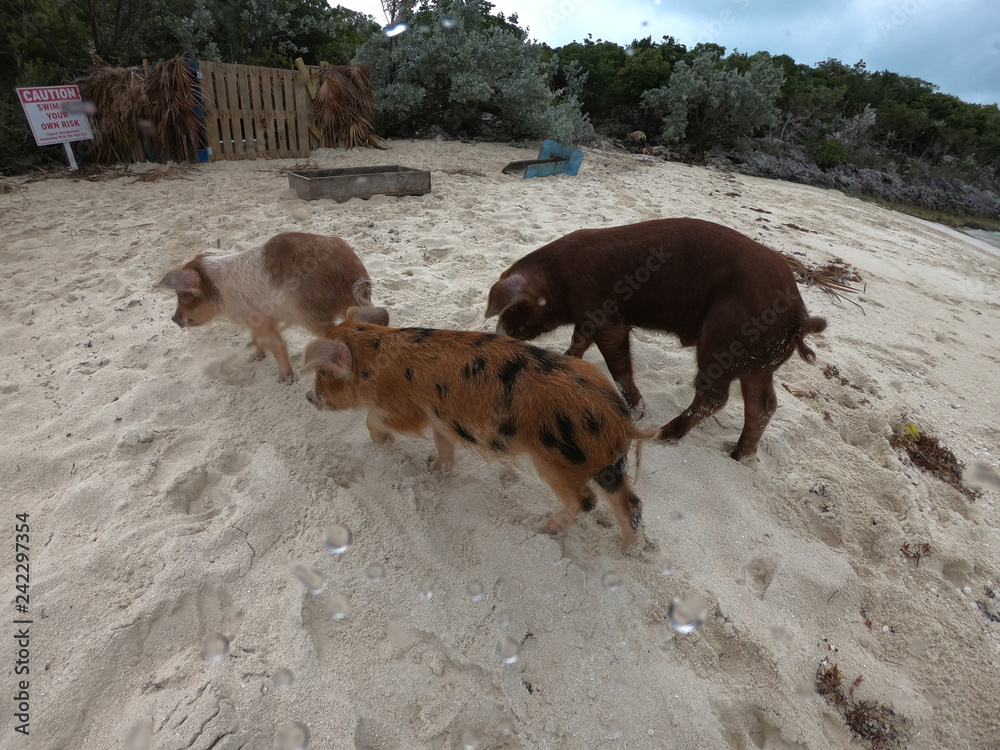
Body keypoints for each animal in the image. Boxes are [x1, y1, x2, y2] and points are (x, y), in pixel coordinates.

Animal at [156, 232, 372, 382]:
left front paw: (285, 381)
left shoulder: (260, 318)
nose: (174, 318)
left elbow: (277, 345)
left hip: (312, 313)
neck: (221, 293)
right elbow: (255, 337)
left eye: (183, 294)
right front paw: (255, 358)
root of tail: (347, 268)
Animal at [304, 307, 657, 549]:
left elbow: (373, 419)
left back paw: (539, 528)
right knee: (630, 503)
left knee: (586, 501)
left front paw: (385, 443)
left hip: (558, 461)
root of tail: (623, 420)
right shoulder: (440, 418)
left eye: (323, 371)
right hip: (606, 463)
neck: (372, 357)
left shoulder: (406, 411)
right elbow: (444, 446)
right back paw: (626, 550)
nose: (309, 396)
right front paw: (433, 471)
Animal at [485, 218, 827, 460]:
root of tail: (799, 313)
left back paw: (662, 435)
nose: (499, 334)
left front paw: (638, 410)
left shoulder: (606, 315)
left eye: (512, 308)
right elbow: (577, 345)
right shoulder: (586, 319)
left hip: (722, 337)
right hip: (759, 362)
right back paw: (737, 455)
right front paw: (569, 364)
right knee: (763, 404)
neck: (558, 279)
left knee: (715, 396)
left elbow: (618, 365)